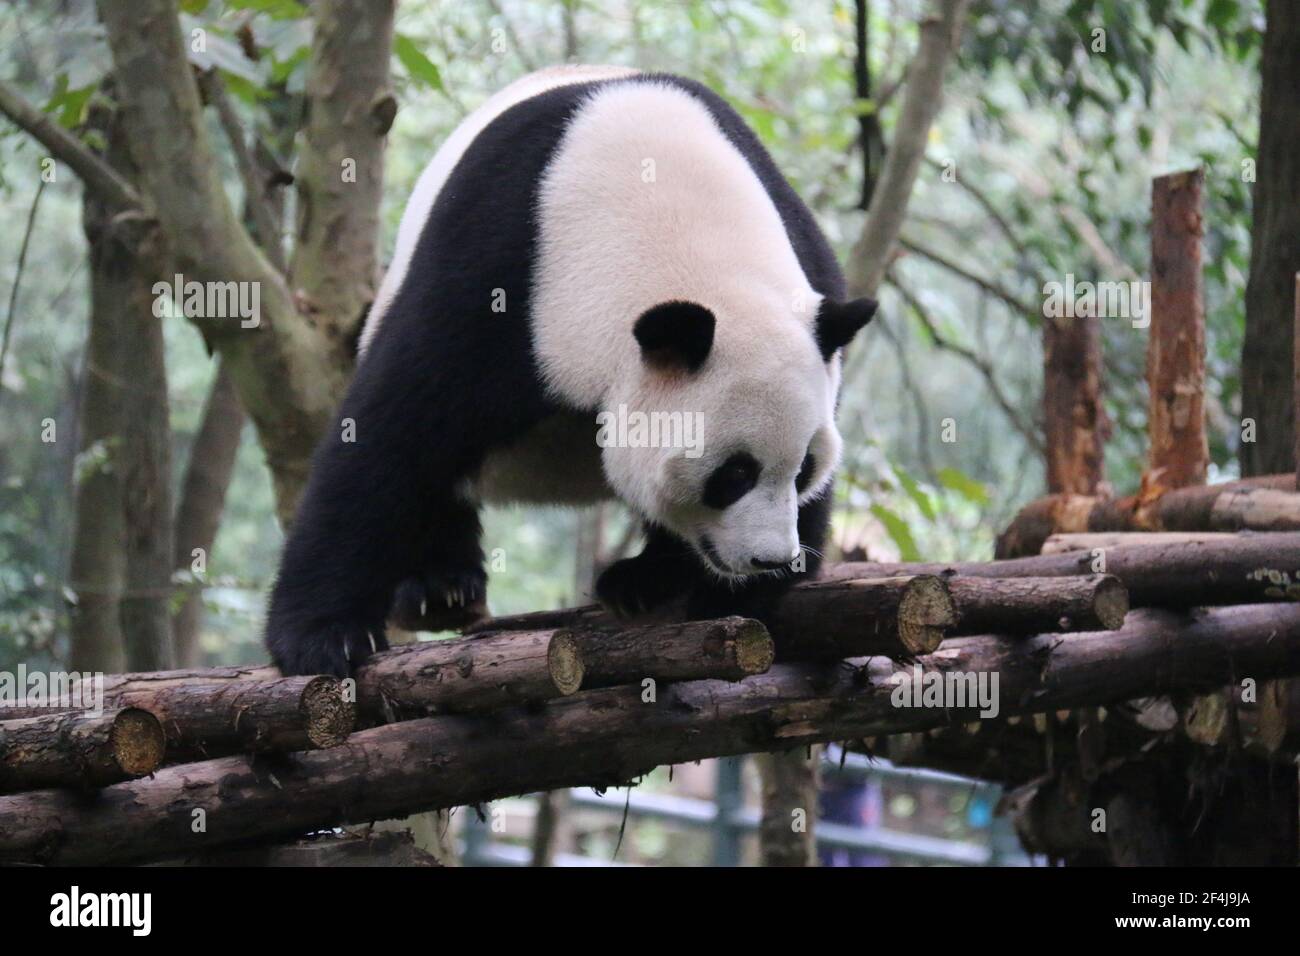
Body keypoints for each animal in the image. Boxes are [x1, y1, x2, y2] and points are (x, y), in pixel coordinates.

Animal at [267, 65, 876, 677]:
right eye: (734, 474)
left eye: (803, 468)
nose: (769, 557)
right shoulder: (503, 265)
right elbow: (394, 426)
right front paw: (325, 637)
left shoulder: (810, 285)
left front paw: (730, 594)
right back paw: (441, 586)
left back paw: (641, 581)